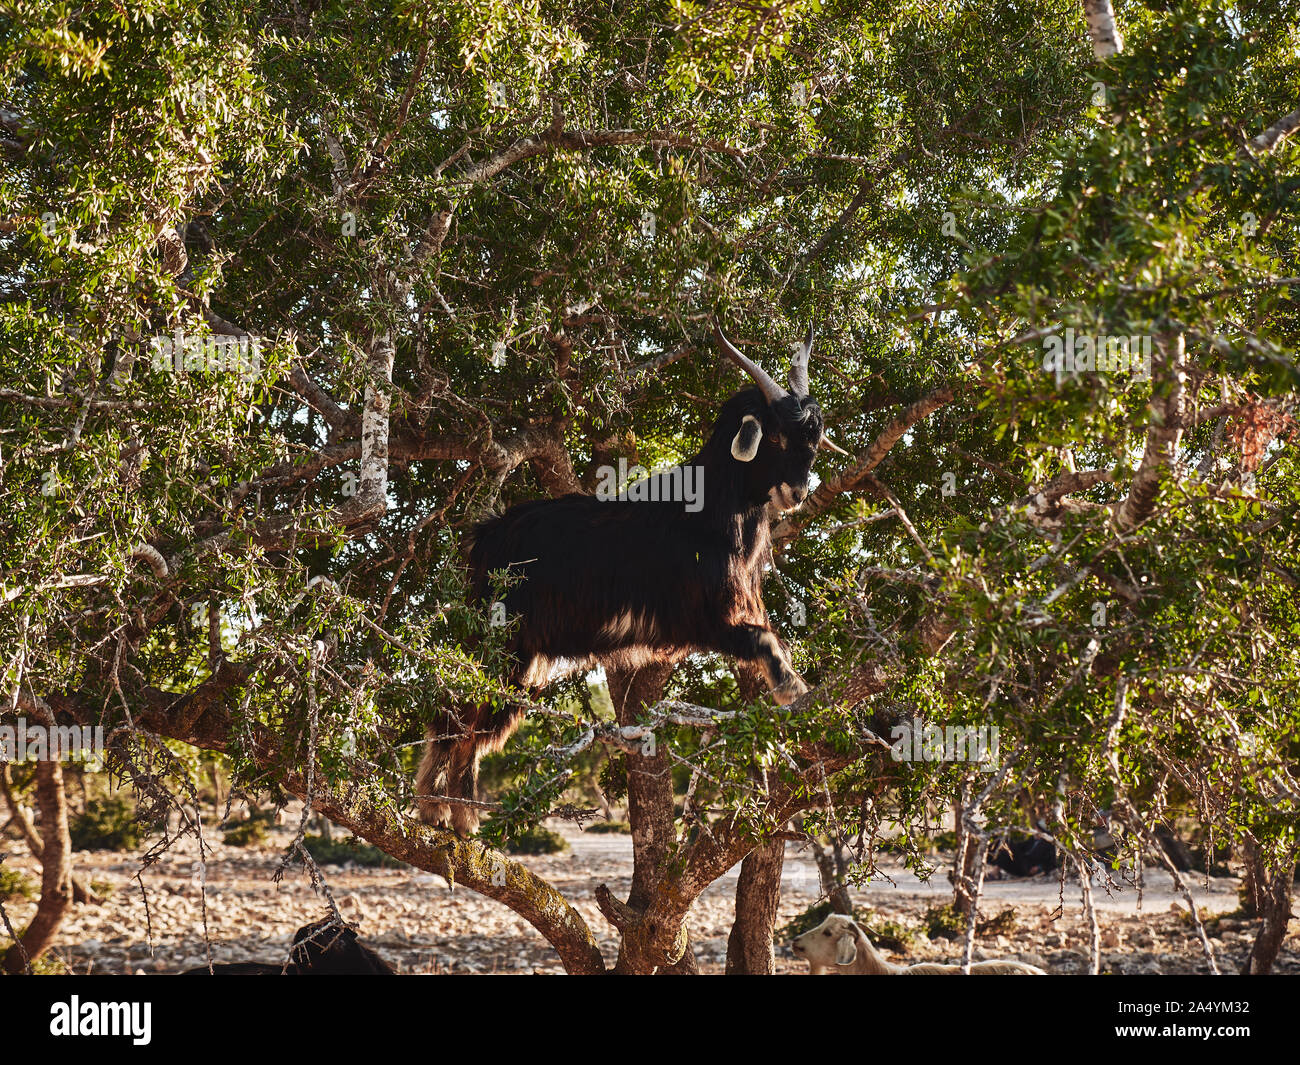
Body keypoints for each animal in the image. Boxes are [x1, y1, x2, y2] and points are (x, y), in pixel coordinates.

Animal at [417, 323, 846, 834]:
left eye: (815, 441)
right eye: (776, 437)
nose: (797, 493)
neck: (709, 508)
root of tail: (487, 536)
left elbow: (771, 637)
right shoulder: (701, 616)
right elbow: (765, 639)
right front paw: (794, 690)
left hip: (526, 661)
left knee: (479, 726)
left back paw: (462, 818)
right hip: (499, 641)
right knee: (454, 715)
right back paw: (435, 810)